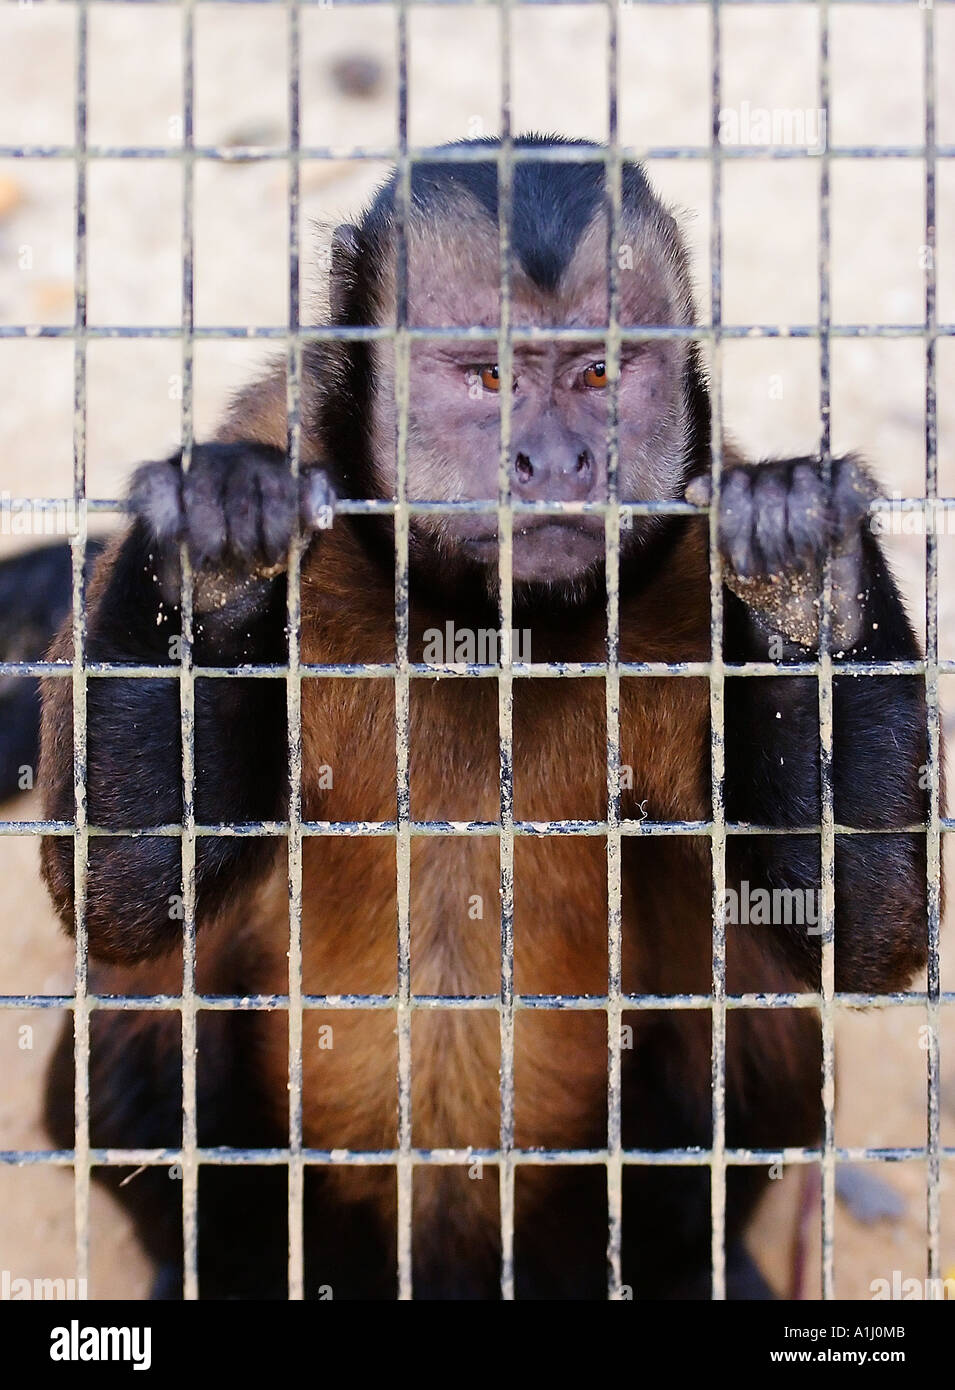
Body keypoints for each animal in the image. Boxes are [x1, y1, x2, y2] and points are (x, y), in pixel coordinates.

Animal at [34, 136, 933, 1300]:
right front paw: (212, 550)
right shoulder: (277, 440)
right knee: (140, 1020)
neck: (485, 624)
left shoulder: (699, 529)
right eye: (492, 378)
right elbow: (127, 894)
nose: (553, 462)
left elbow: (857, 930)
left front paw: (807, 577)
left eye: (598, 373)